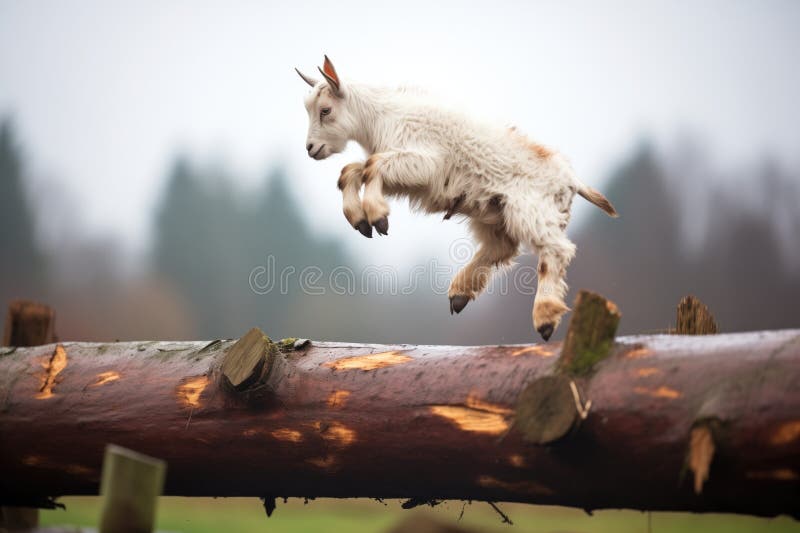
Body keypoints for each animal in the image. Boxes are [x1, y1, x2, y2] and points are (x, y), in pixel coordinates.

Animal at [296, 56, 617, 340]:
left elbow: (372, 167)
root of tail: (572, 181)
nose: (311, 148)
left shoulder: (422, 163)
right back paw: (460, 293)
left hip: (530, 211)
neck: (380, 116)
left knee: (555, 251)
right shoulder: (404, 175)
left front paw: (377, 217)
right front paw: (361, 221)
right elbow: (352, 171)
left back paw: (545, 317)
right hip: (496, 213)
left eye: (325, 110)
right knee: (502, 247)